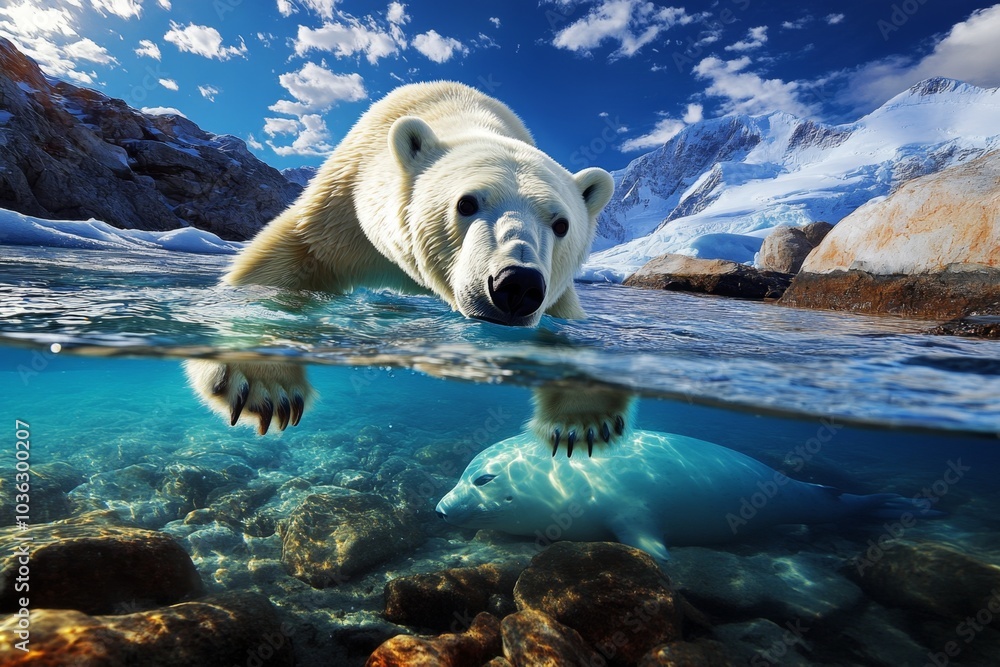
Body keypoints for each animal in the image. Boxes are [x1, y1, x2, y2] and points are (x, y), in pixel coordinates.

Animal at [184, 81, 632, 455]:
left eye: (561, 224)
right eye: (466, 203)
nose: (516, 285)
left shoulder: (555, 290)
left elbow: (566, 324)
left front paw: (583, 418)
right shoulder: (345, 213)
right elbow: (282, 268)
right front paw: (261, 383)